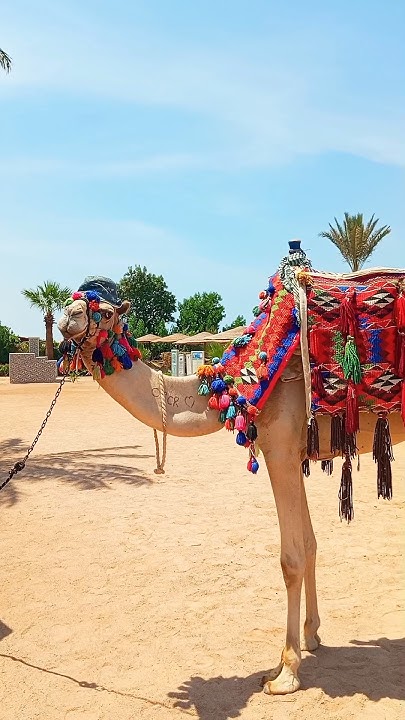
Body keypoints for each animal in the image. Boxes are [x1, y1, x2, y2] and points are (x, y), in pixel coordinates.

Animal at [57, 277, 405, 696]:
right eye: (69, 301)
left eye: (105, 313)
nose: (68, 319)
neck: (240, 384)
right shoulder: (294, 454)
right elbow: (310, 545)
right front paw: (312, 637)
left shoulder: (279, 449)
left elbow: (291, 559)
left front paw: (285, 673)